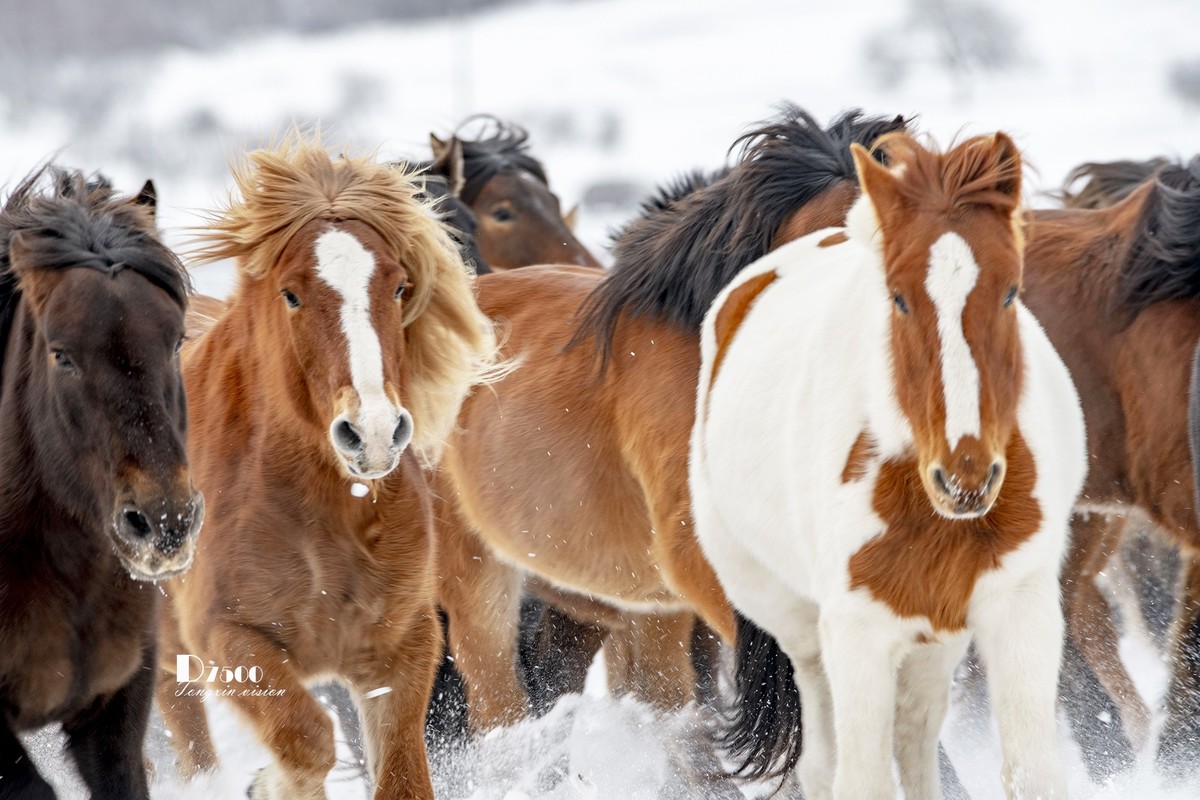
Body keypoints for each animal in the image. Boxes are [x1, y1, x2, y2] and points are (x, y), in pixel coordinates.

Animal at [154, 133, 498, 800]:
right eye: (291, 293)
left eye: (399, 285)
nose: (373, 434)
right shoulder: (226, 637)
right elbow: (305, 739)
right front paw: (270, 785)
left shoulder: (403, 642)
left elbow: (402, 776)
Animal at [692, 132, 1085, 799]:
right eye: (898, 298)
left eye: (1011, 290)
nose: (965, 477)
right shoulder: (858, 633)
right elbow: (862, 778)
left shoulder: (1020, 607)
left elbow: (1030, 771)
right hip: (799, 625)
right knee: (824, 760)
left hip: (938, 632)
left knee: (916, 734)